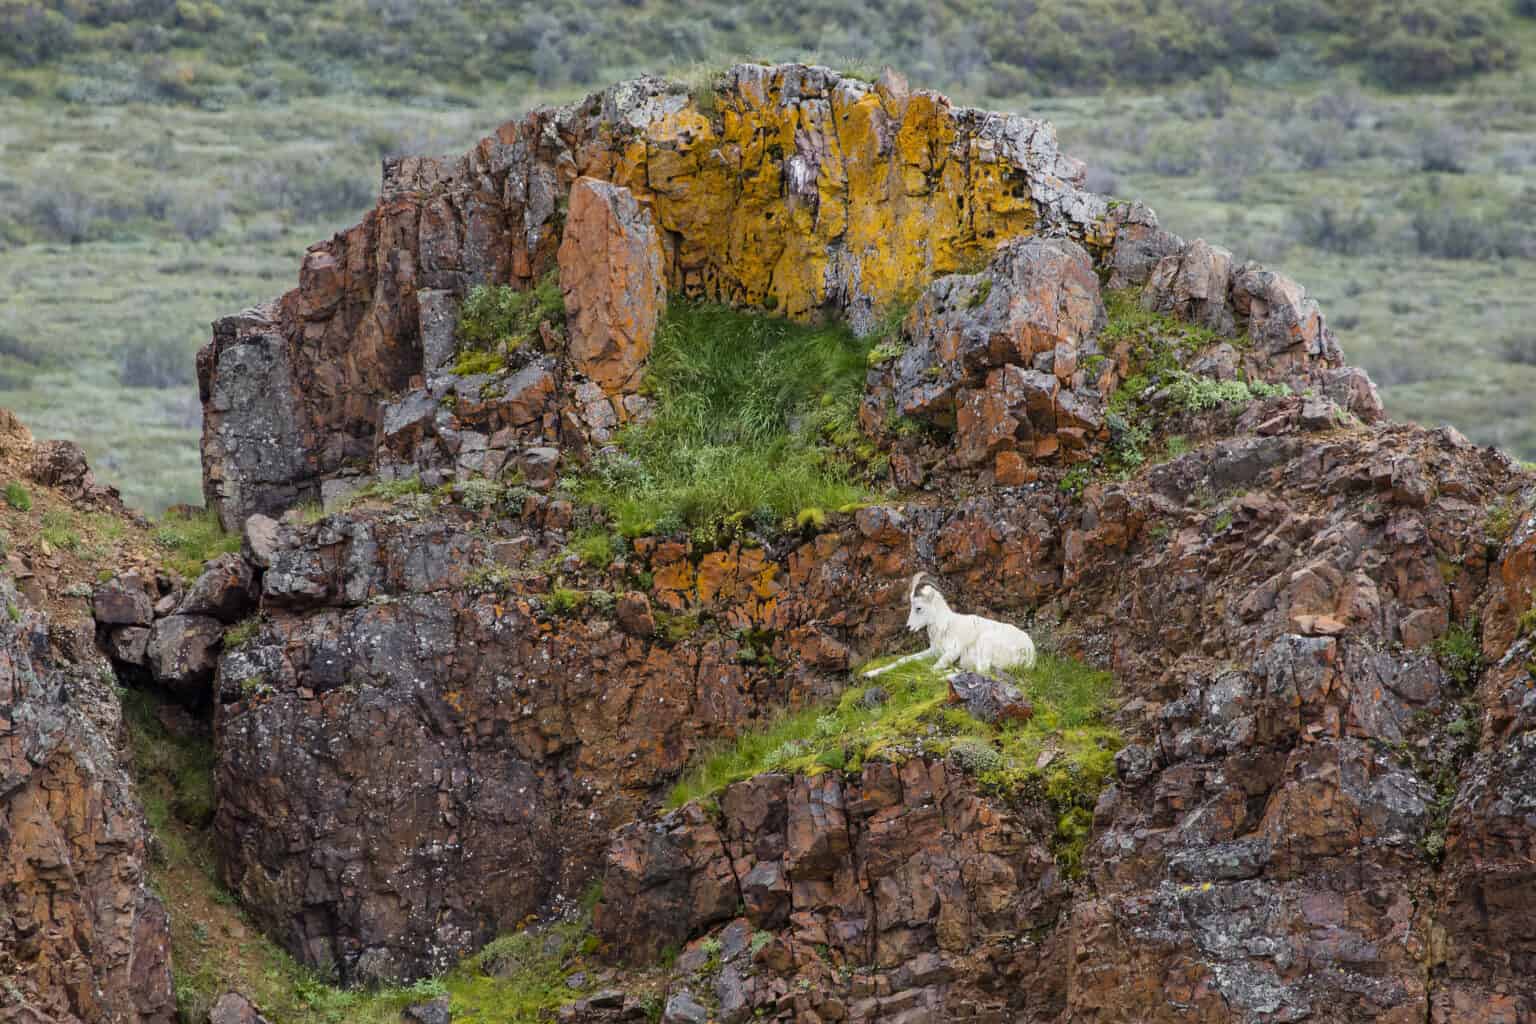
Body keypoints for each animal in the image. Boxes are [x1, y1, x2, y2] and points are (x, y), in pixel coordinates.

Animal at [863, 573, 1036, 679]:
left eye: (918, 607)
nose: (908, 627)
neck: (946, 626)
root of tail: (1029, 653)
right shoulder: (933, 651)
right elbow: (903, 660)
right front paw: (870, 674)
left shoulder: (951, 652)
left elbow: (932, 668)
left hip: (985, 644)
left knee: (982, 672)